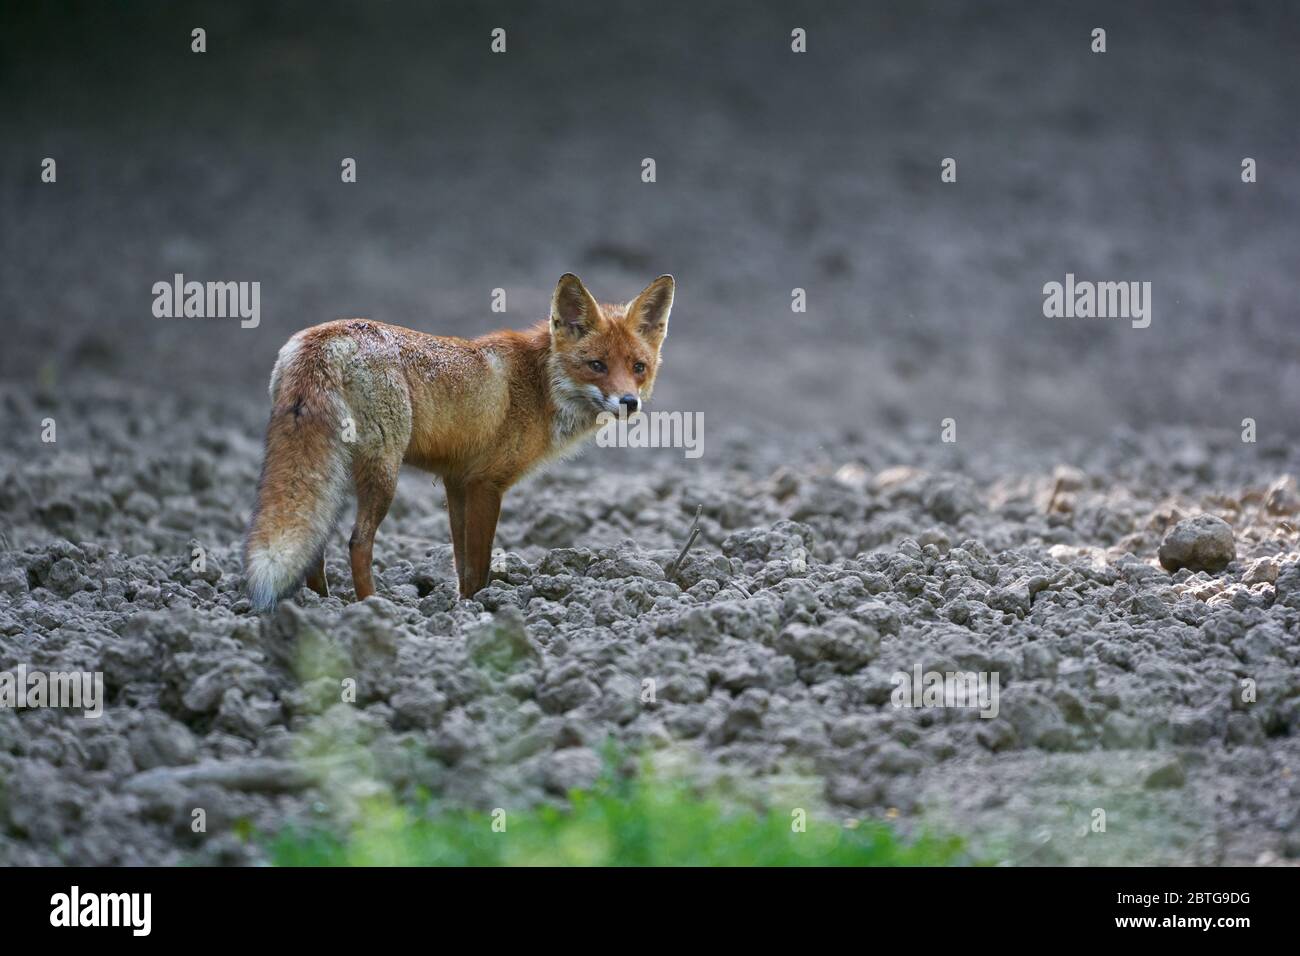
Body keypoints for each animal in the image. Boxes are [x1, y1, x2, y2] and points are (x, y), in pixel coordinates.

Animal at [242, 272, 674, 612]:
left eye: (638, 367)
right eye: (596, 365)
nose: (629, 402)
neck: (540, 384)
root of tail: (323, 336)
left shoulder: (457, 482)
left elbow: (462, 563)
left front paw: (463, 607)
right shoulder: (487, 484)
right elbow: (478, 566)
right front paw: (478, 609)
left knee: (315, 544)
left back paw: (320, 601)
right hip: (384, 474)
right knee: (357, 542)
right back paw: (371, 607)